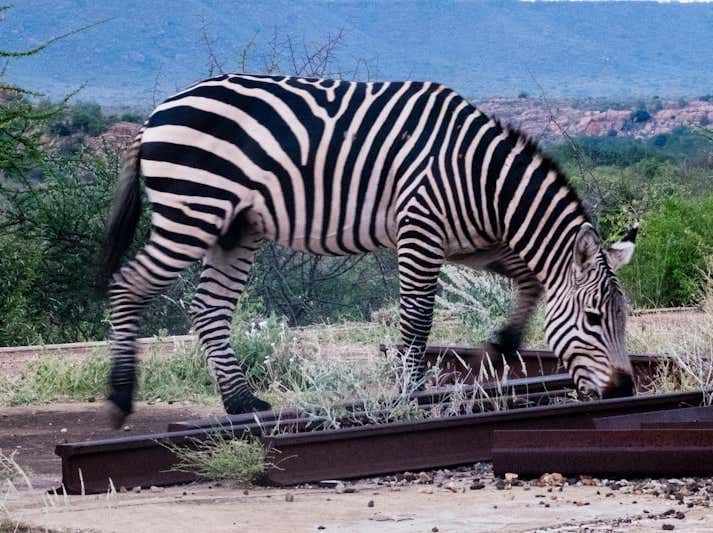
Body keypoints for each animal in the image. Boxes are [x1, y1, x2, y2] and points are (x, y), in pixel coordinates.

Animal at [99, 74, 638, 428]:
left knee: (209, 308)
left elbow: (529, 278)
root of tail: (154, 116)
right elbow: (418, 319)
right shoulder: (421, 230)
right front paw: (411, 395)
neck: (483, 180)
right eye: (595, 319)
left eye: (623, 319)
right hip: (193, 211)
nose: (624, 390)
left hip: (236, 227)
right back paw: (121, 398)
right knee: (127, 286)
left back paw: (241, 403)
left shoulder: (473, 245)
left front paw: (503, 343)